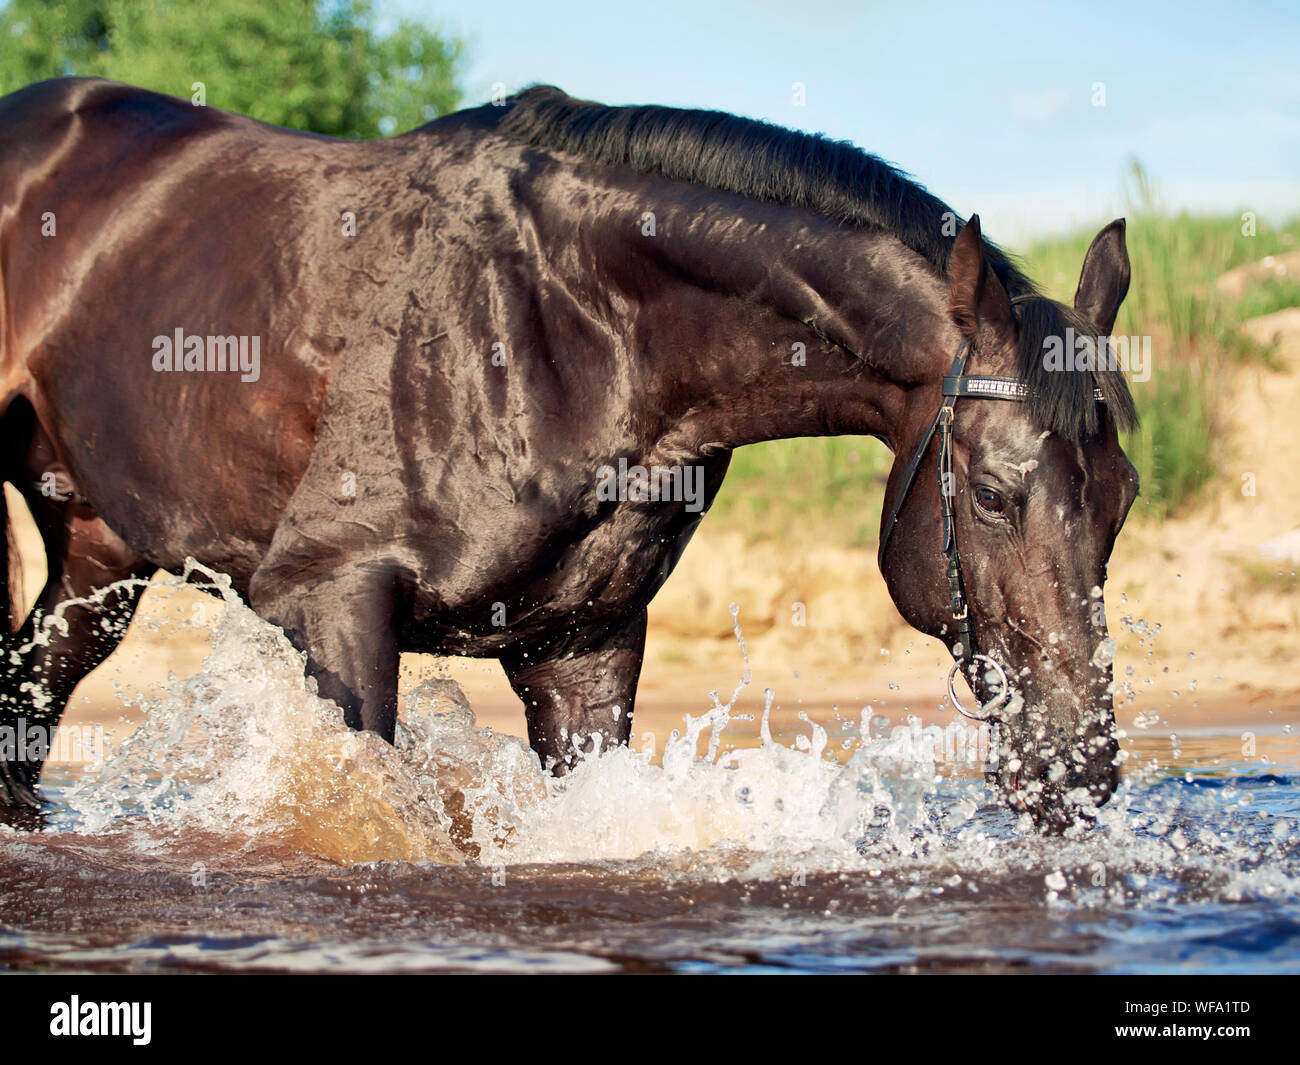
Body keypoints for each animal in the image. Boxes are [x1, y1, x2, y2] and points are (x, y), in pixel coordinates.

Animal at [0, 79, 1139, 833]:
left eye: (1122, 501)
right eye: (992, 494)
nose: (1078, 770)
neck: (576, 320)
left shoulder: (582, 647)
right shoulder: (328, 596)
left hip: (98, 562)